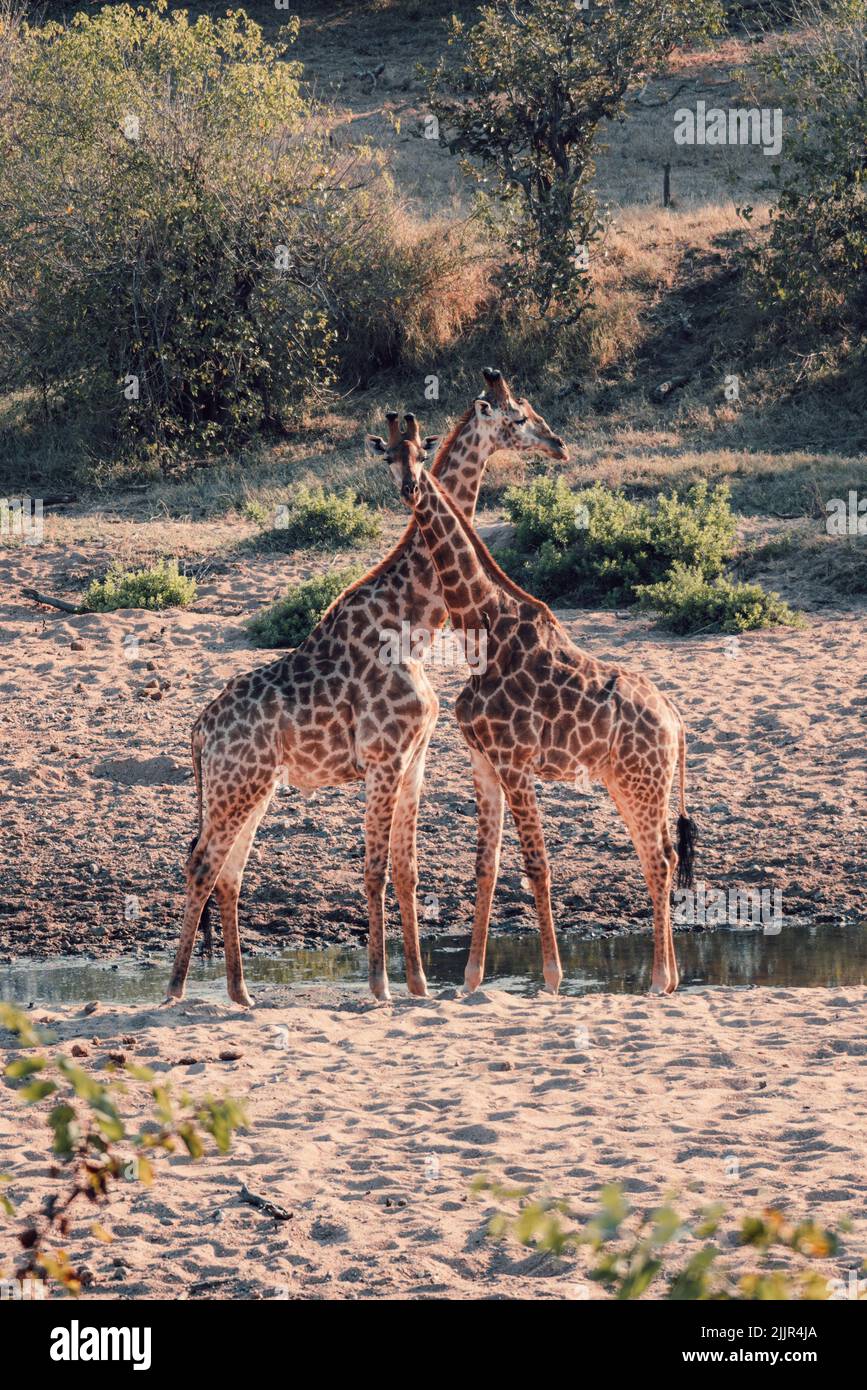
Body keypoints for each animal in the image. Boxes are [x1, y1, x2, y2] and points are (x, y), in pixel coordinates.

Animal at [165, 371, 568, 1007]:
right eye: (520, 416)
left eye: (423, 452)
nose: (558, 444)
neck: (413, 626)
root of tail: (200, 728)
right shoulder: (383, 758)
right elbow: (374, 869)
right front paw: (380, 985)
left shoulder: (415, 756)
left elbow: (407, 869)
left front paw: (419, 985)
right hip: (236, 786)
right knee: (202, 865)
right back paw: (177, 991)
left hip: (254, 786)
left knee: (229, 871)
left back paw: (241, 994)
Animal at [382, 408, 698, 996]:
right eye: (388, 455)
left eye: (420, 453)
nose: (410, 489)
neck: (481, 630)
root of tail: (676, 721)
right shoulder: (483, 762)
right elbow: (485, 866)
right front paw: (471, 980)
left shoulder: (515, 761)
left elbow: (537, 866)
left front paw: (551, 978)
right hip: (629, 781)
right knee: (660, 856)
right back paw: (667, 980)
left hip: (643, 781)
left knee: (660, 860)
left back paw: (658, 979)